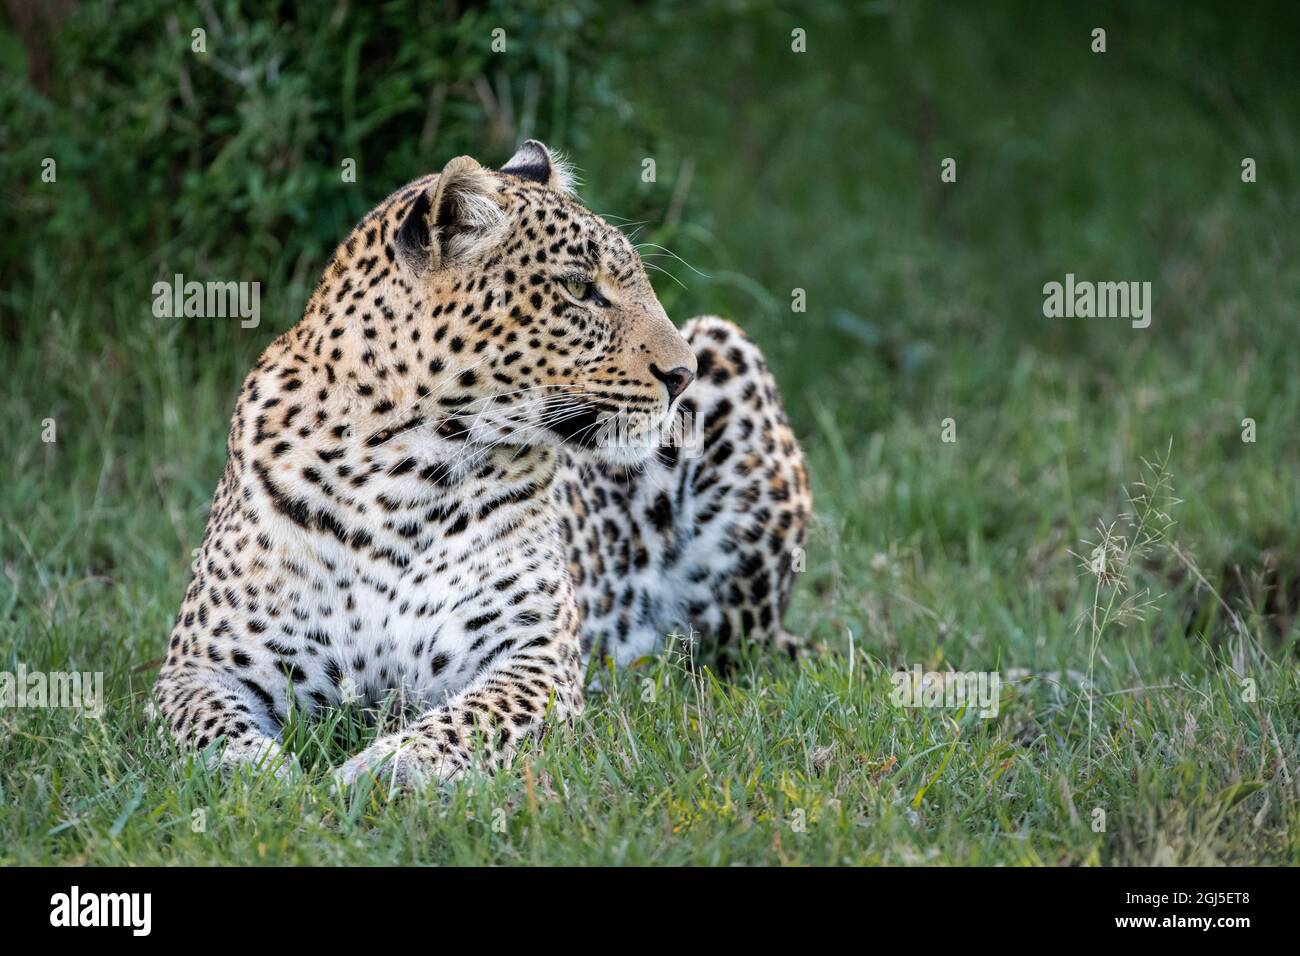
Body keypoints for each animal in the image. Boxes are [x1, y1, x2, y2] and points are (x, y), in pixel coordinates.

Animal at [154, 140, 812, 788]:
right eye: (579, 289)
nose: (683, 374)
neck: (396, 473)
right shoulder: (198, 664)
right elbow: (211, 729)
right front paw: (261, 777)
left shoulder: (535, 656)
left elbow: (470, 719)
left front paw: (386, 770)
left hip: (731, 362)